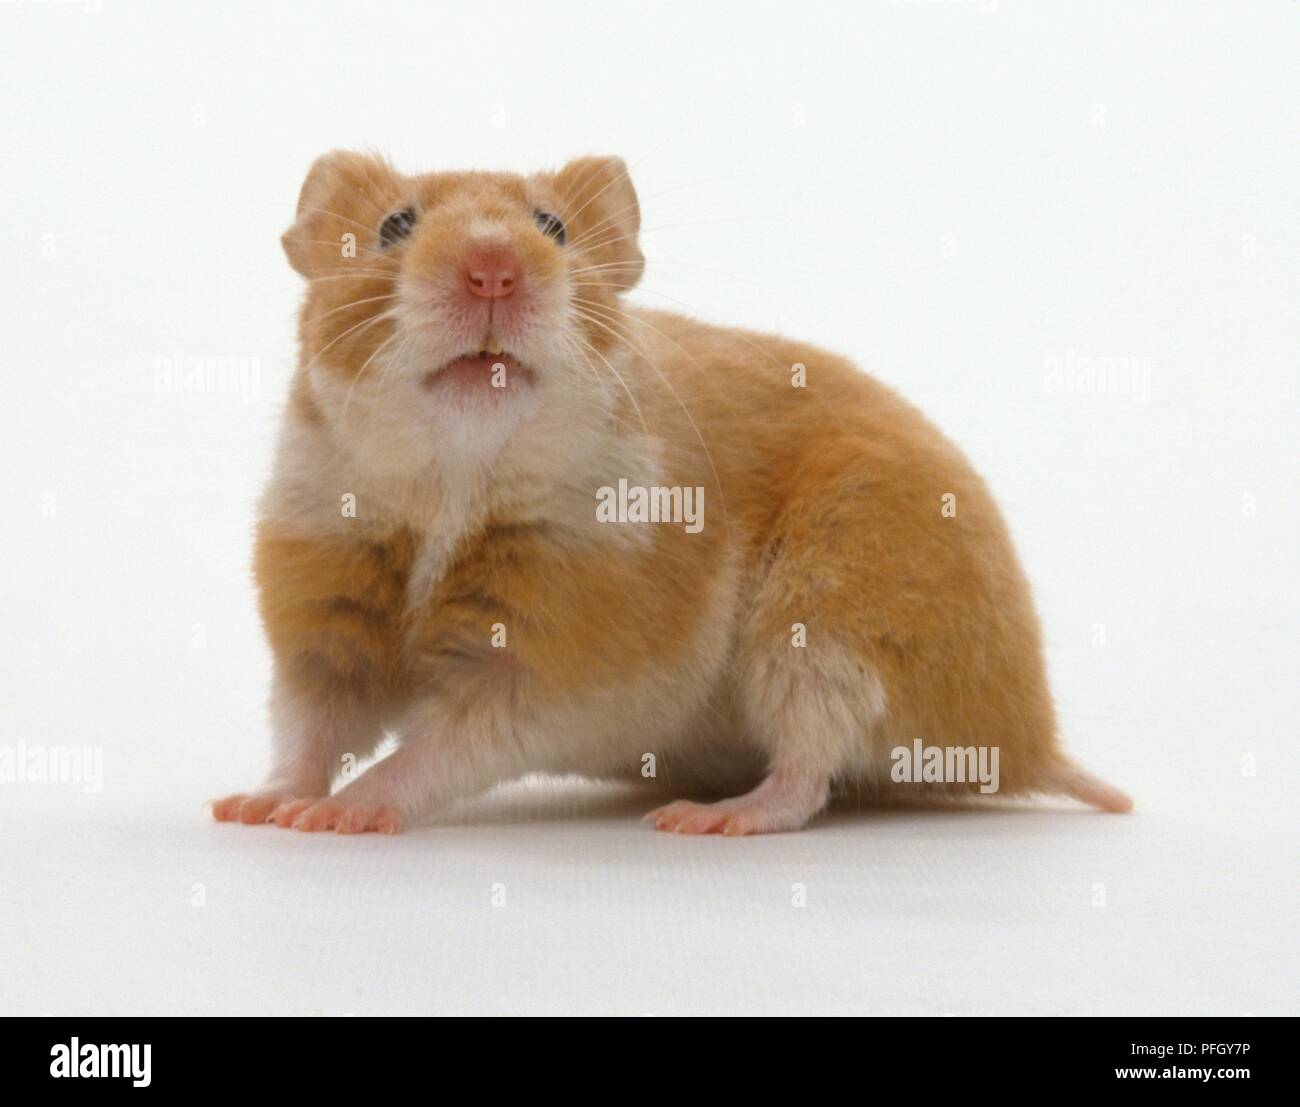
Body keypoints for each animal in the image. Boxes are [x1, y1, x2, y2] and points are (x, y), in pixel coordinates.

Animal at [212, 150, 1132, 835]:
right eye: (393, 226)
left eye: (553, 227)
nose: (493, 273)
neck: (454, 477)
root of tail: (1026, 736)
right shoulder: (322, 620)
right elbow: (310, 726)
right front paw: (256, 806)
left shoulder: (548, 667)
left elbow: (437, 749)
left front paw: (335, 814)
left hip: (829, 621)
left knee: (809, 768)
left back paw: (707, 817)